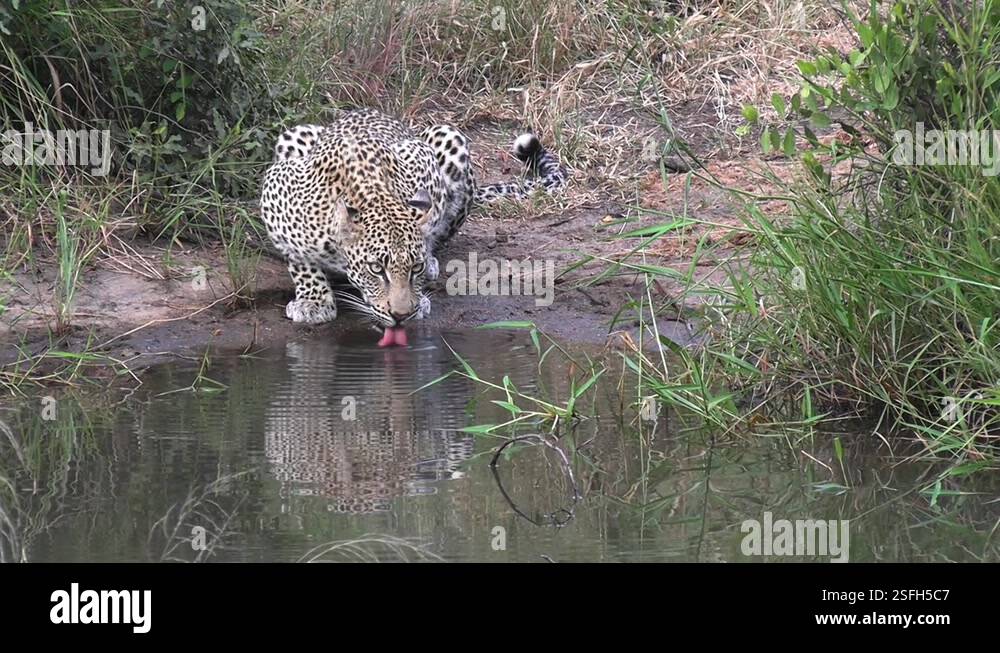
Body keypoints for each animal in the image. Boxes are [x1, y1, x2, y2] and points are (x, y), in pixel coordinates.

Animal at [259, 108, 566, 332]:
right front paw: (313, 302)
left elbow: (427, 228)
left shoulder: (423, 161)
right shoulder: (276, 186)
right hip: (294, 135)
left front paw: (422, 289)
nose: (400, 315)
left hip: (449, 136)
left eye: (413, 268)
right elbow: (299, 258)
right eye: (376, 269)